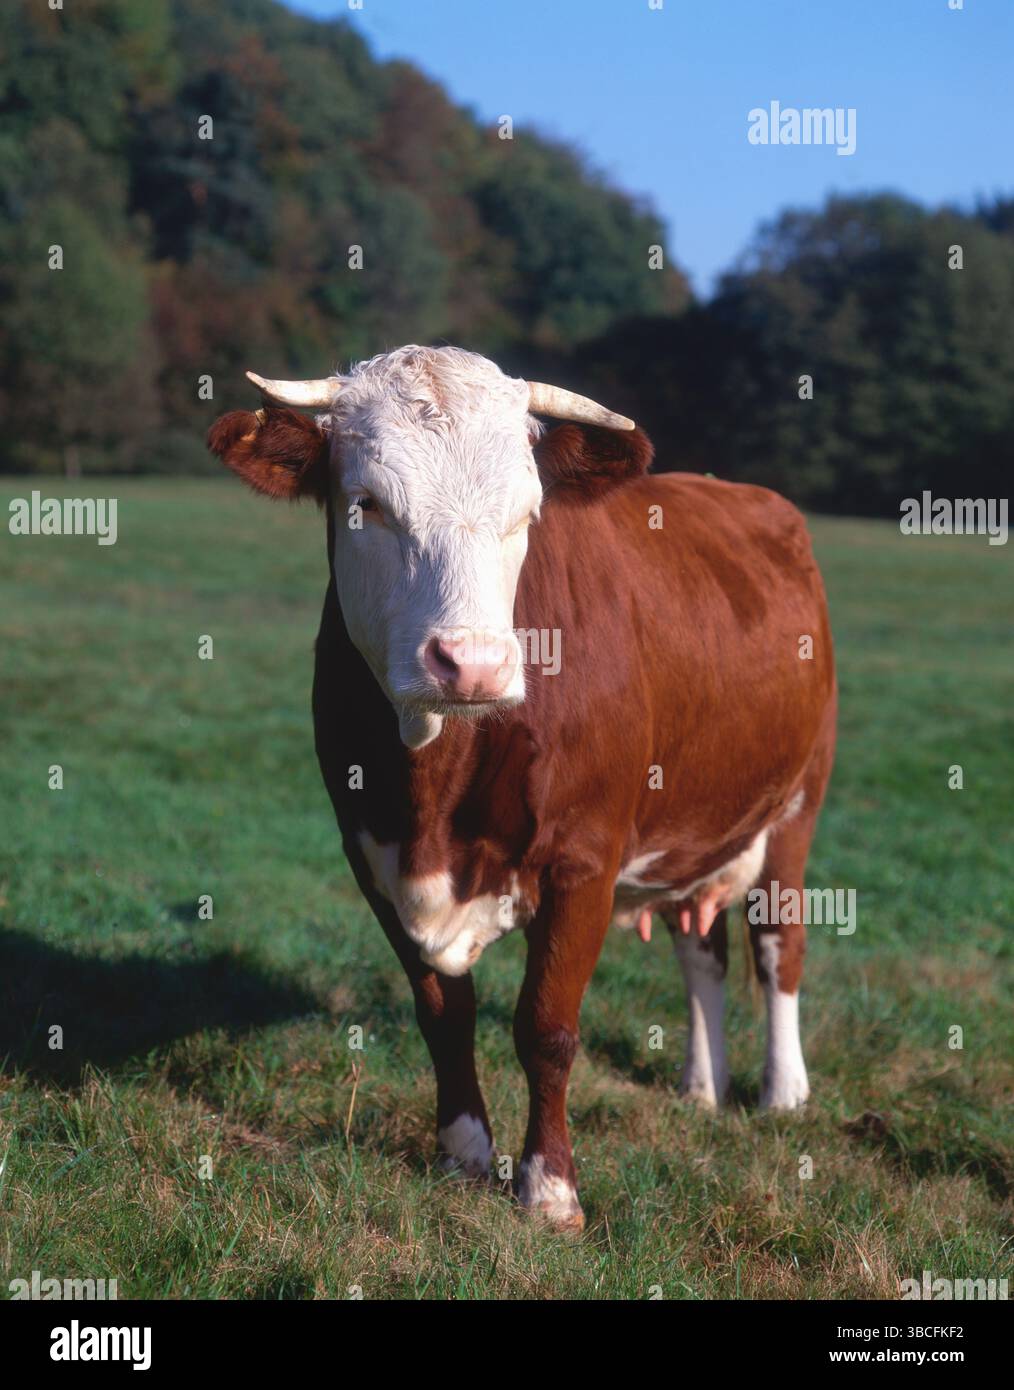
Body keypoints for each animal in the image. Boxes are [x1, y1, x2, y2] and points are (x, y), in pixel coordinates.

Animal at [208, 345, 837, 1232]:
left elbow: (547, 1026)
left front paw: (549, 1187)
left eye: (528, 513)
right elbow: (444, 1017)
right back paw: (698, 1087)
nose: (472, 663)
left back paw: (782, 1093)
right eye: (366, 505)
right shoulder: (373, 859)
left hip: (796, 804)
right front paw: (463, 1154)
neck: (433, 784)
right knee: (701, 950)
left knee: (778, 942)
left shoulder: (584, 863)